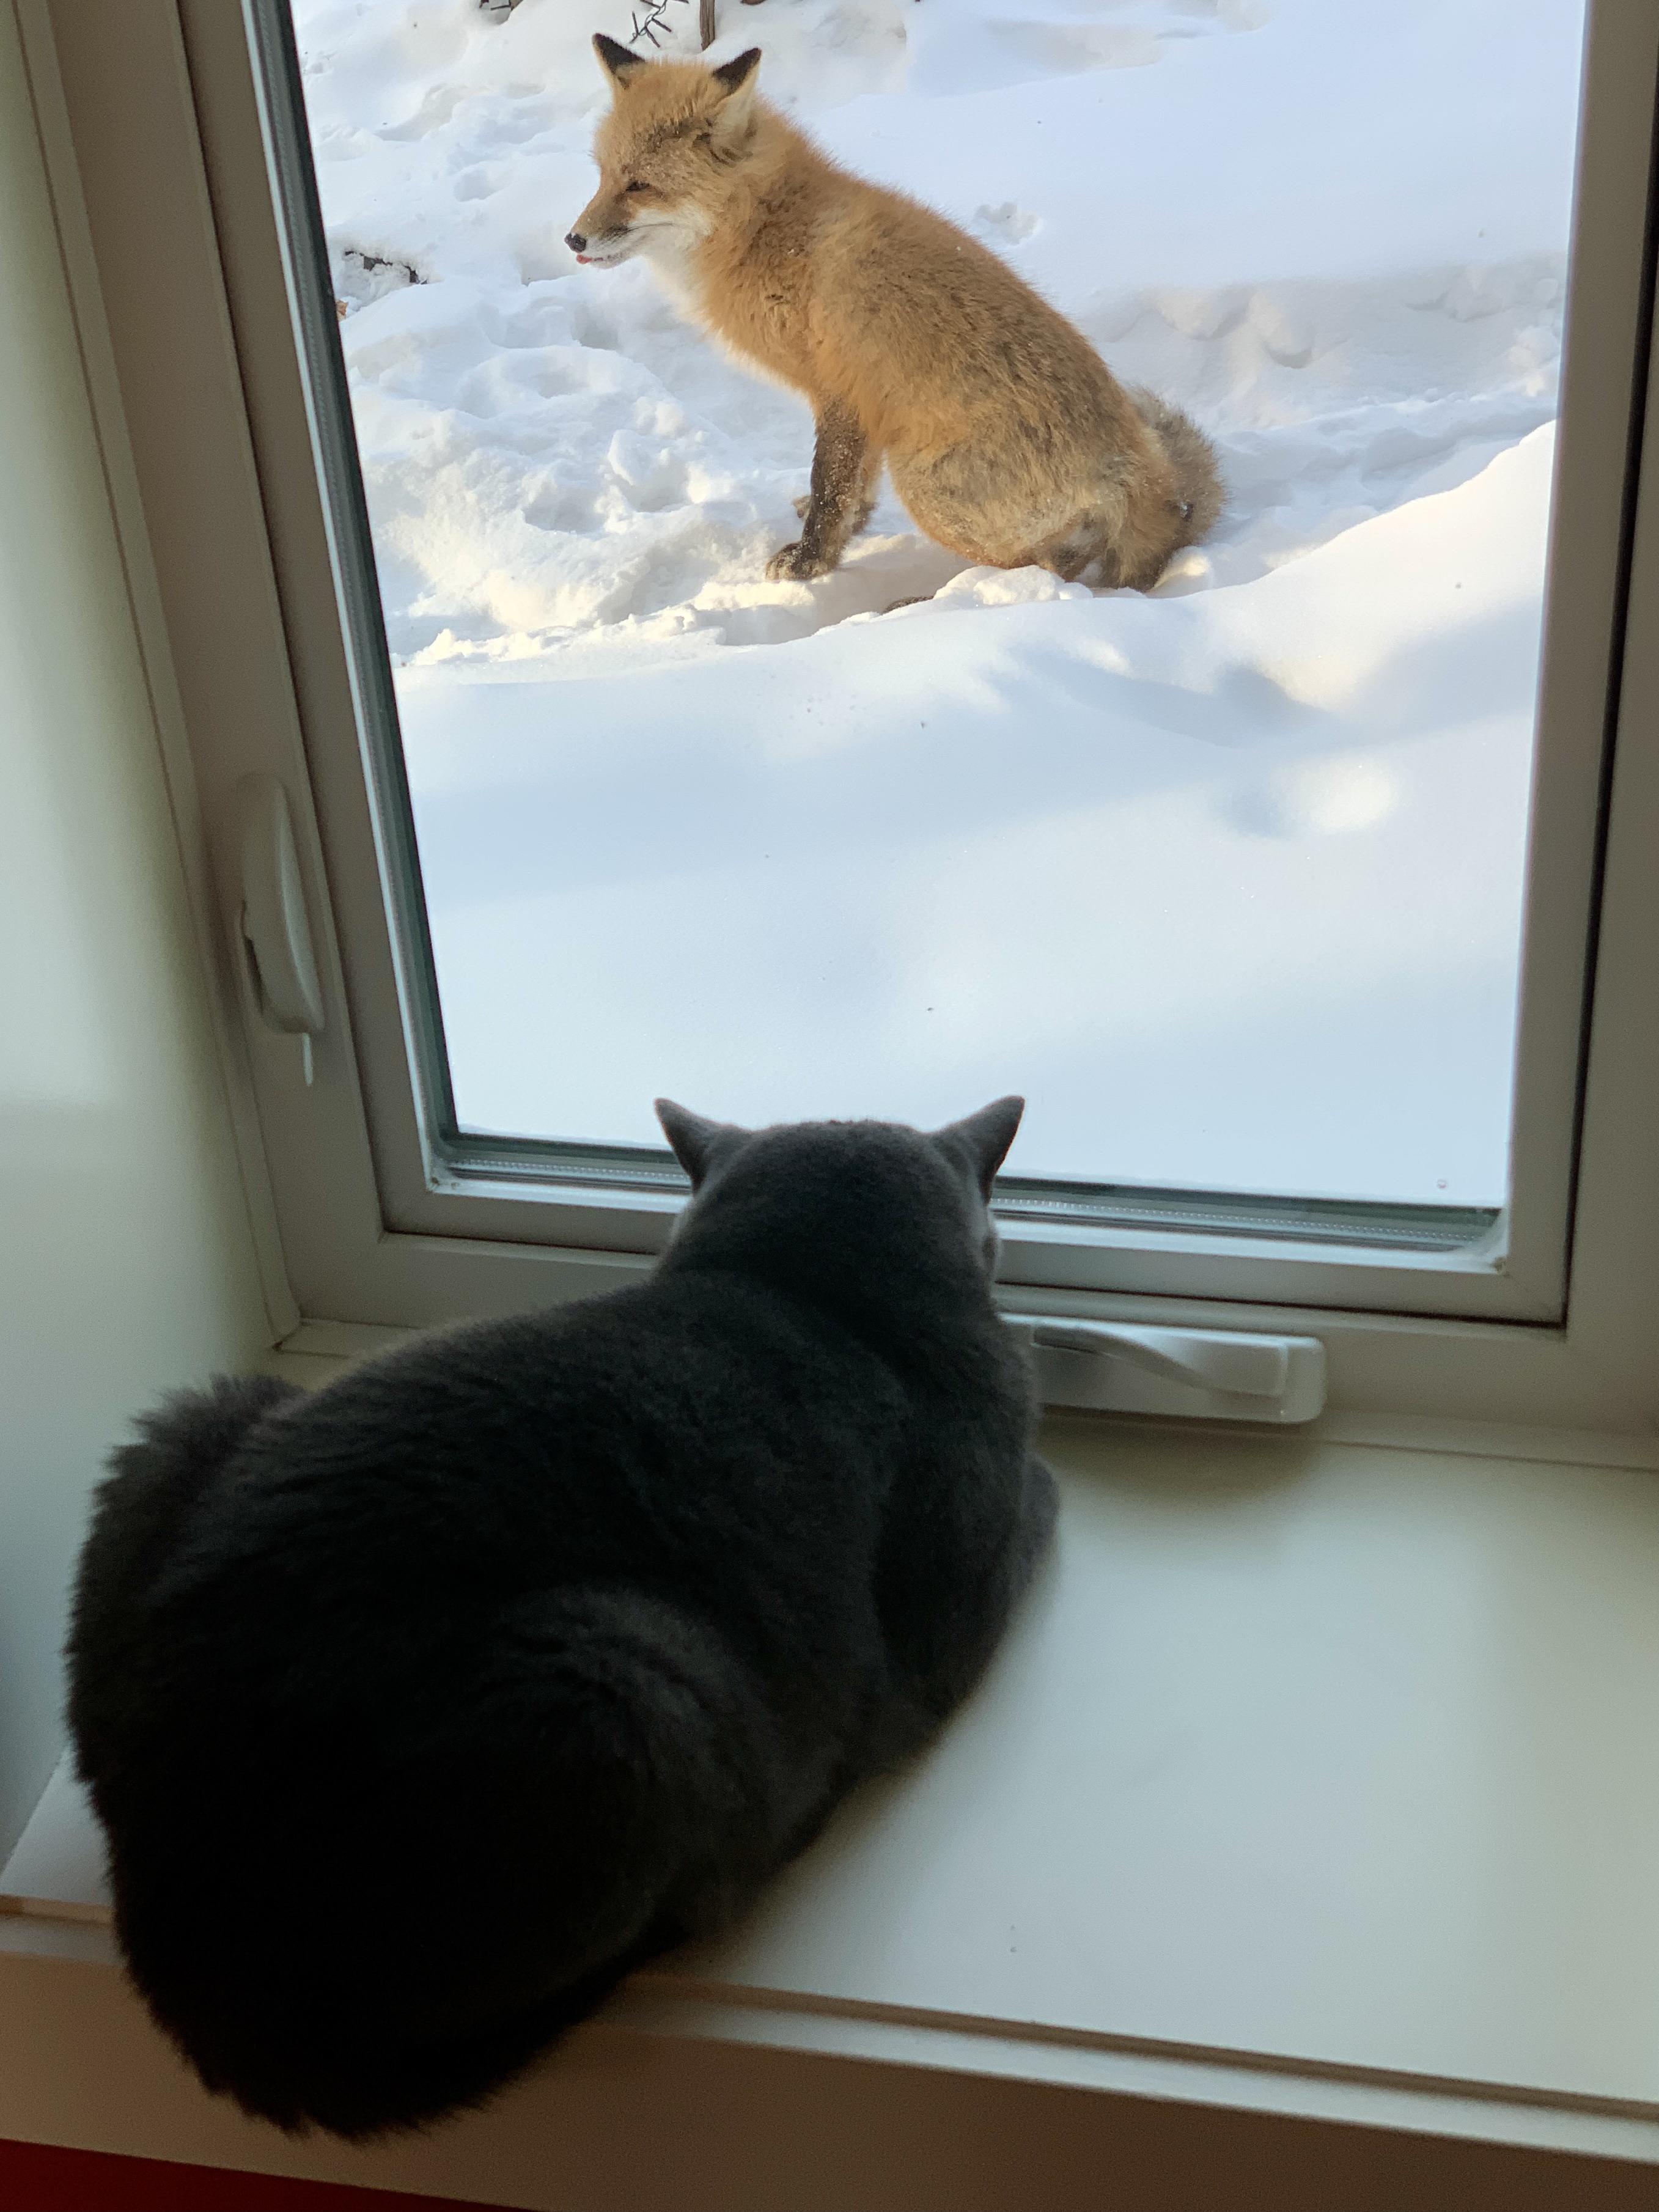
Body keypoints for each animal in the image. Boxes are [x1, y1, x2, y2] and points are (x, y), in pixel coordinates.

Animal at [567, 35, 1221, 591]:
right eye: (602, 176)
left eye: (639, 185)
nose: (573, 239)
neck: (769, 226)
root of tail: (1142, 471)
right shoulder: (864, 404)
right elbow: (851, 490)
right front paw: (843, 533)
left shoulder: (840, 389)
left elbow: (830, 486)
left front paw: (810, 563)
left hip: (929, 487)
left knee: (1048, 569)